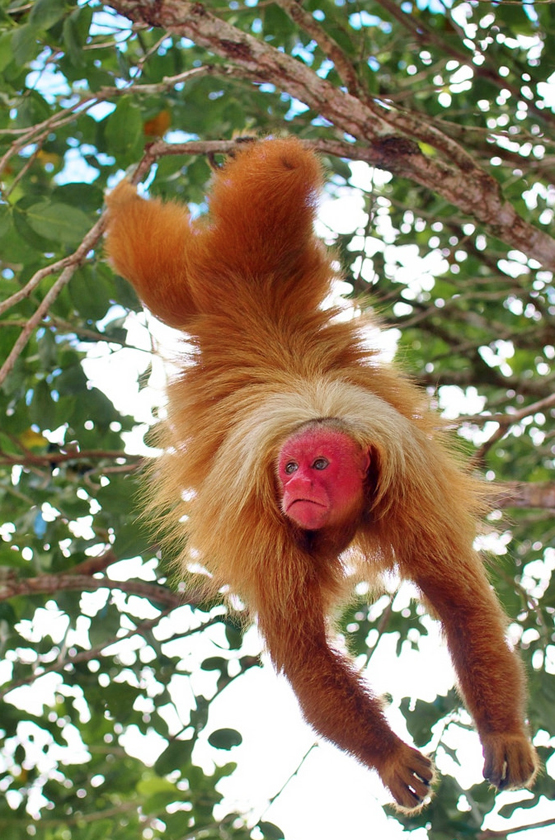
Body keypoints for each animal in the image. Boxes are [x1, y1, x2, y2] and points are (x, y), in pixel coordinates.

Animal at [105, 137, 538, 812]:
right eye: (288, 468)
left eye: (319, 465)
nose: (298, 489)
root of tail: (246, 290)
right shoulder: (263, 525)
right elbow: (303, 651)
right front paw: (388, 756)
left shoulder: (412, 498)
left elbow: (464, 607)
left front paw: (504, 733)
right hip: (201, 292)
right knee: (156, 276)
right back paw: (126, 200)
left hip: (277, 270)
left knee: (268, 196)